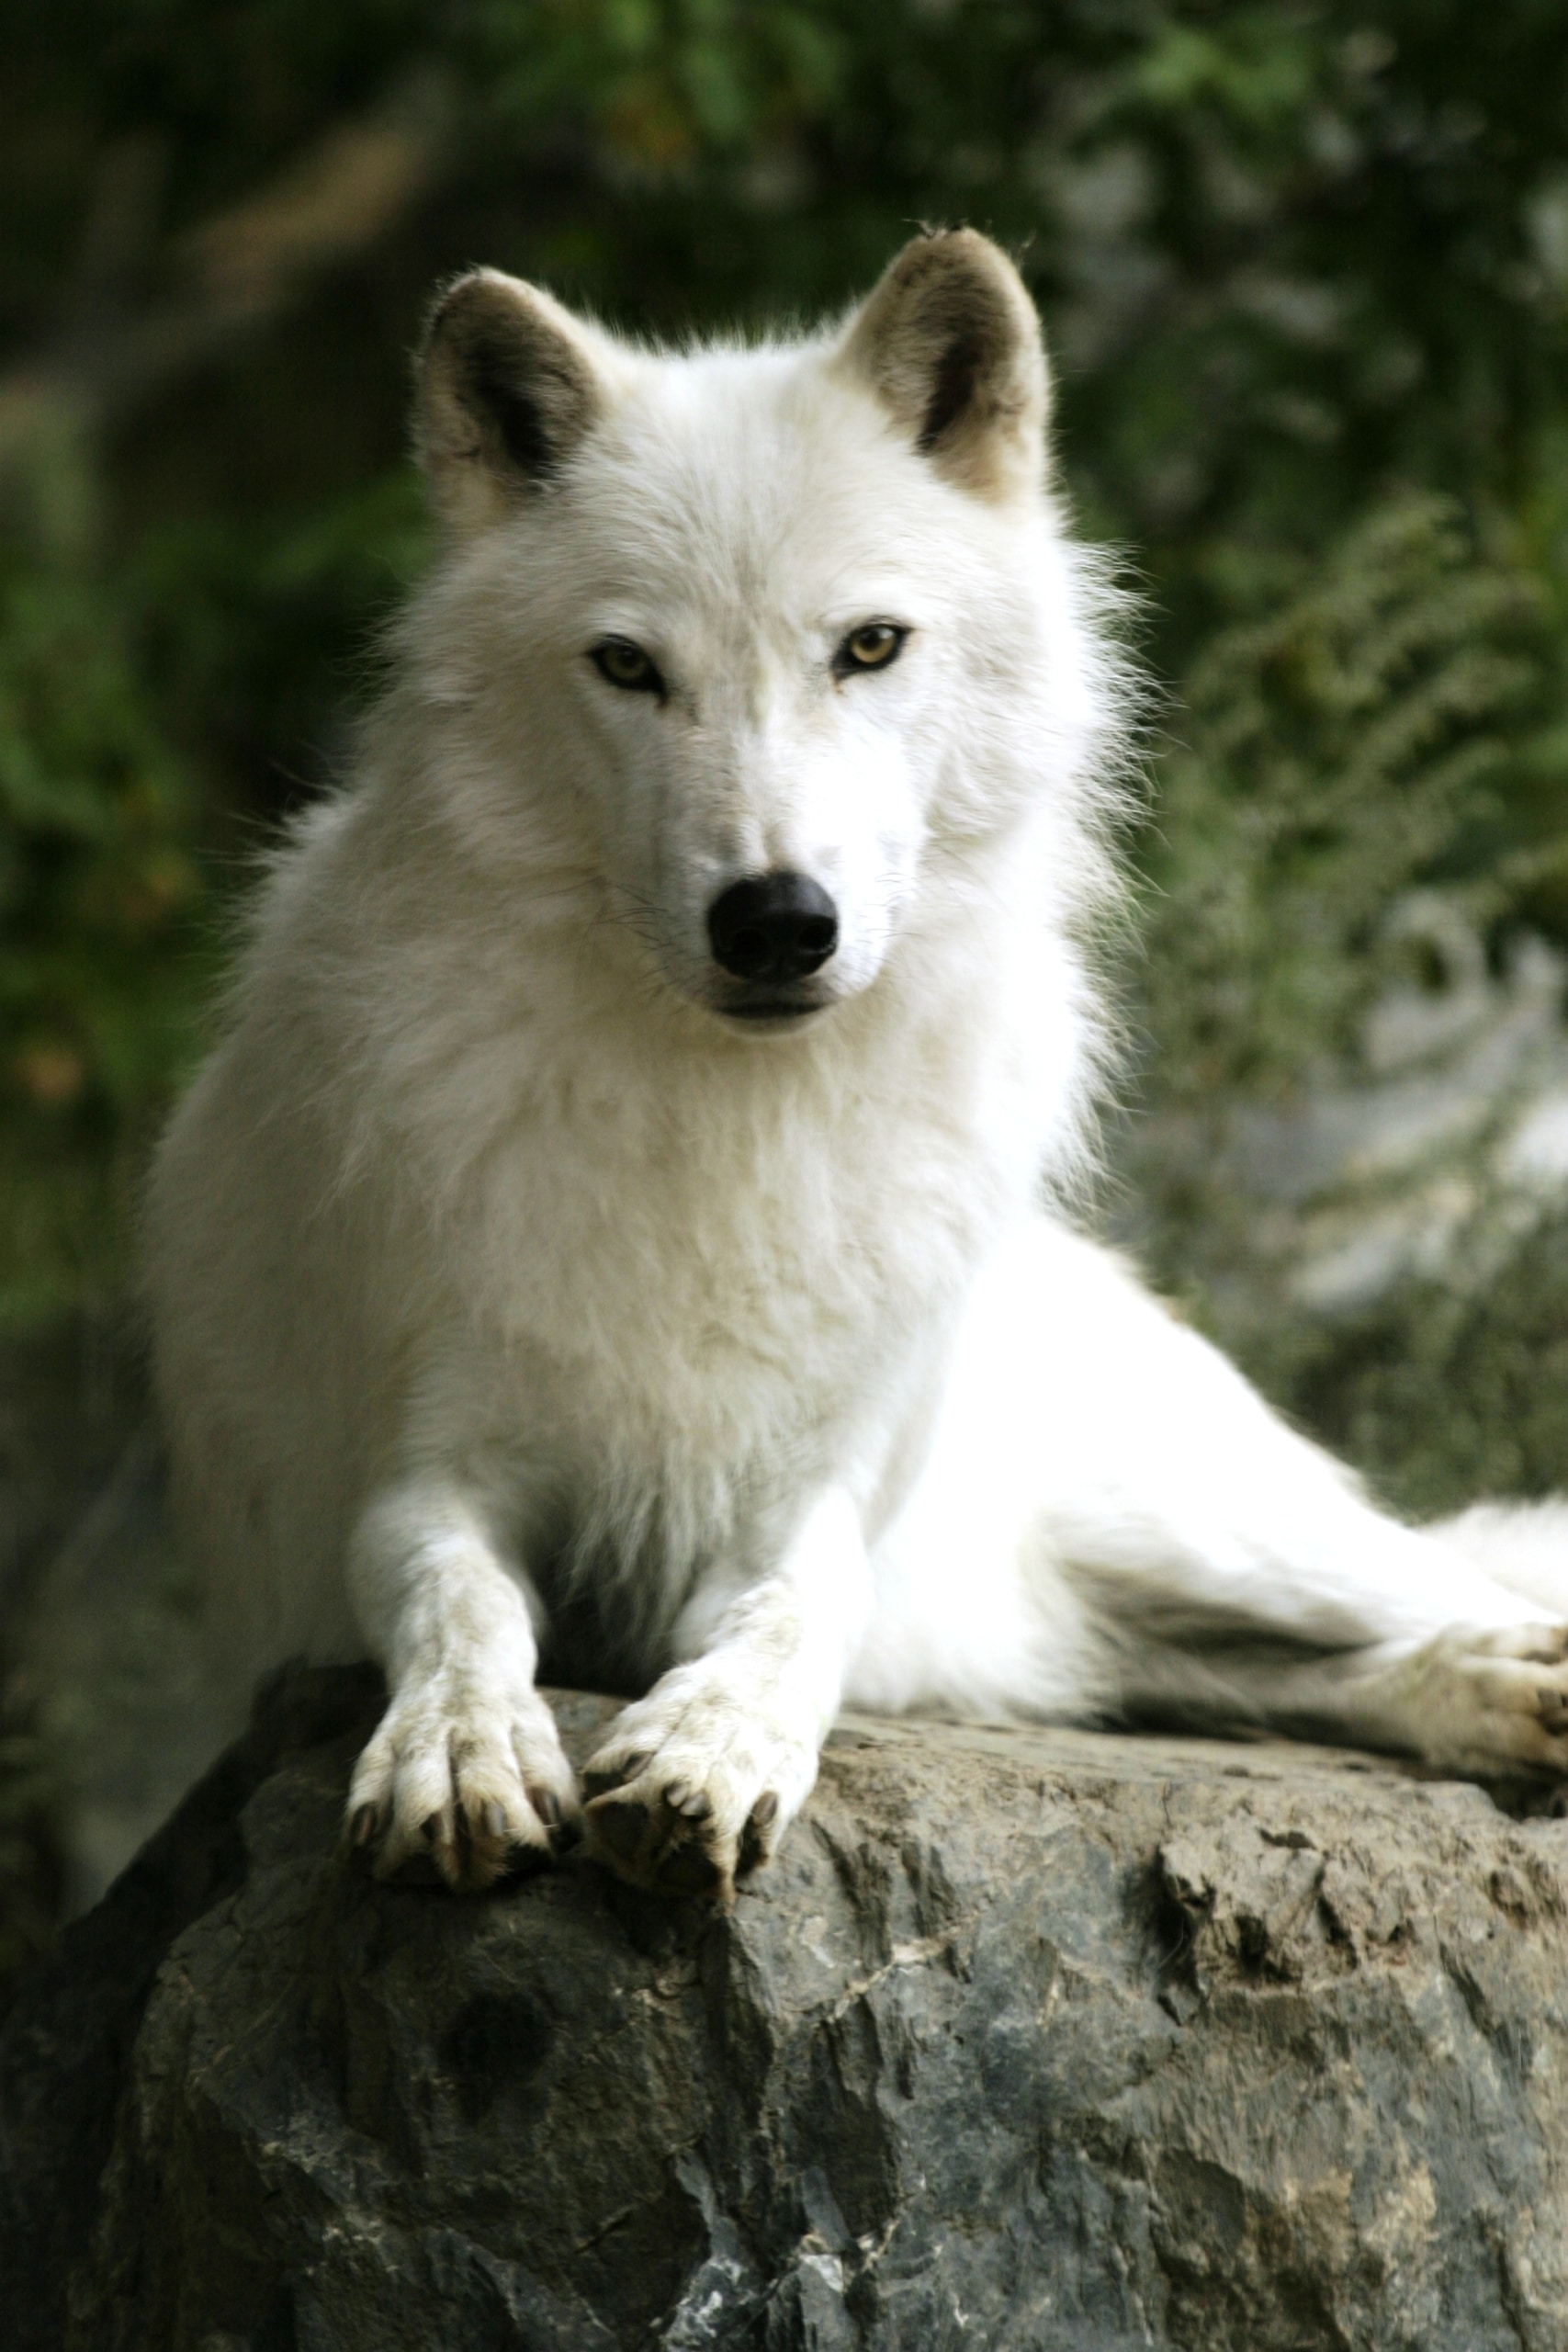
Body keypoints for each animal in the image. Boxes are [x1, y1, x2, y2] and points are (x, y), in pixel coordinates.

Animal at [147, 229, 1568, 1901]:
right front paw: (461, 1747)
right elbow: (451, 1600)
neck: (719, 1123)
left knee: (1446, 1586)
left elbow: (793, 1612)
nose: (774, 921)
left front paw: (709, 1750)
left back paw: (1511, 1678)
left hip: (1221, 1534)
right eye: (627, 667)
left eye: (868, 647)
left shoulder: (802, 1496)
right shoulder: (417, 1470)